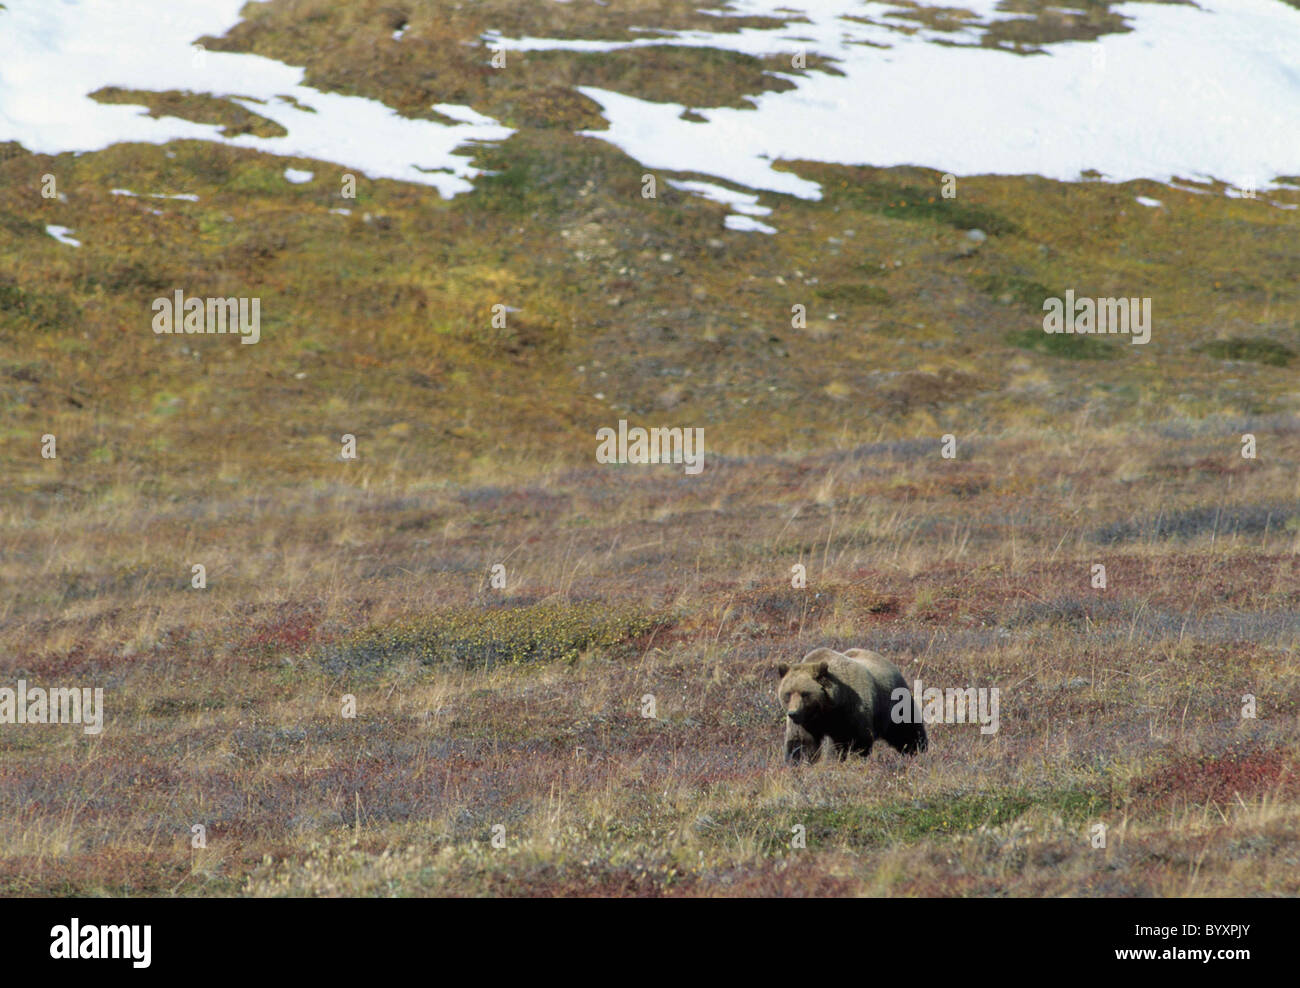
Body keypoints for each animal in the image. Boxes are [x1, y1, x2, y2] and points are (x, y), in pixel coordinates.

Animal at [776, 646, 927, 762]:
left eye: (805, 693)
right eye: (788, 694)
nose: (793, 713)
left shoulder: (851, 713)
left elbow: (856, 741)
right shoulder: (806, 723)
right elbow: (801, 743)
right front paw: (800, 762)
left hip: (895, 703)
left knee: (906, 731)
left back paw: (918, 750)